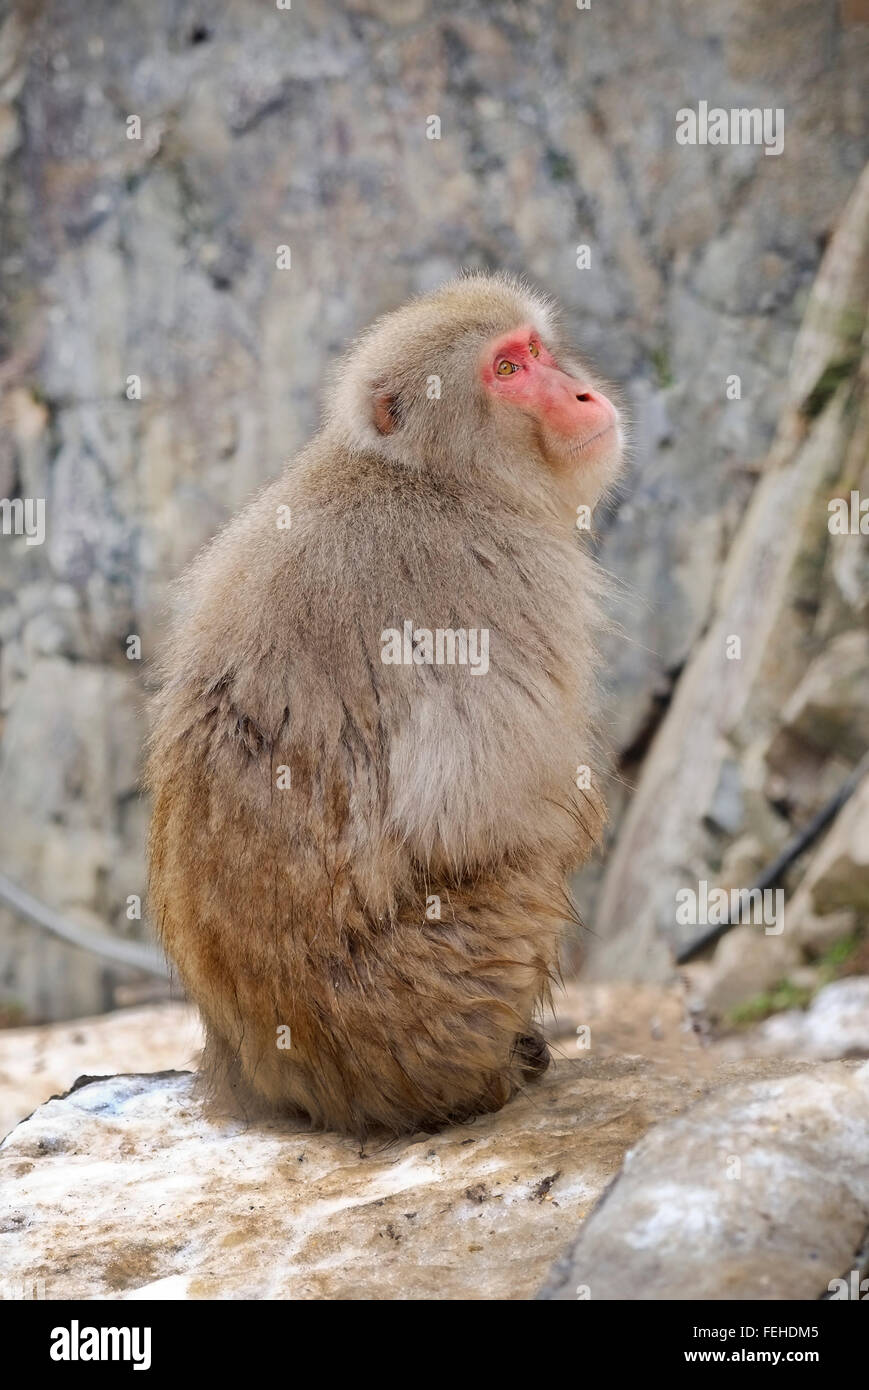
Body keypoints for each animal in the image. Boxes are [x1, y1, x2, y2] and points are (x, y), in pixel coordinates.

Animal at [146, 272, 624, 1140]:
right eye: (507, 371)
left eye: (535, 350)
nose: (581, 392)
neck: (433, 477)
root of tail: (271, 1082)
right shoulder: (499, 580)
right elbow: (473, 814)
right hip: (433, 1002)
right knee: (524, 872)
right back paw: (492, 1079)